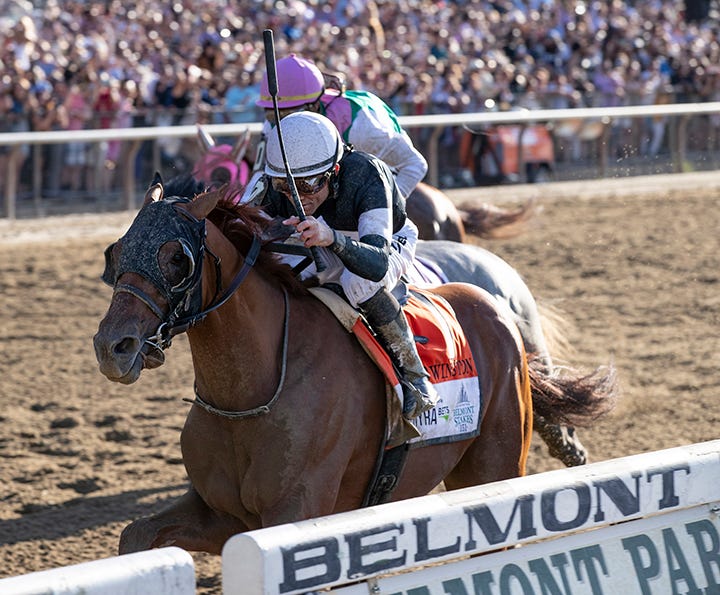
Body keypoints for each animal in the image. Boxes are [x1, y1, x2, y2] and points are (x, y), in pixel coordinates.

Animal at [93, 177, 616, 556]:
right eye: (115, 251)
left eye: (177, 258)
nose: (112, 346)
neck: (249, 395)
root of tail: (494, 304)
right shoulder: (222, 514)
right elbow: (135, 536)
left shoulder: (295, 510)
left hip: (495, 467)